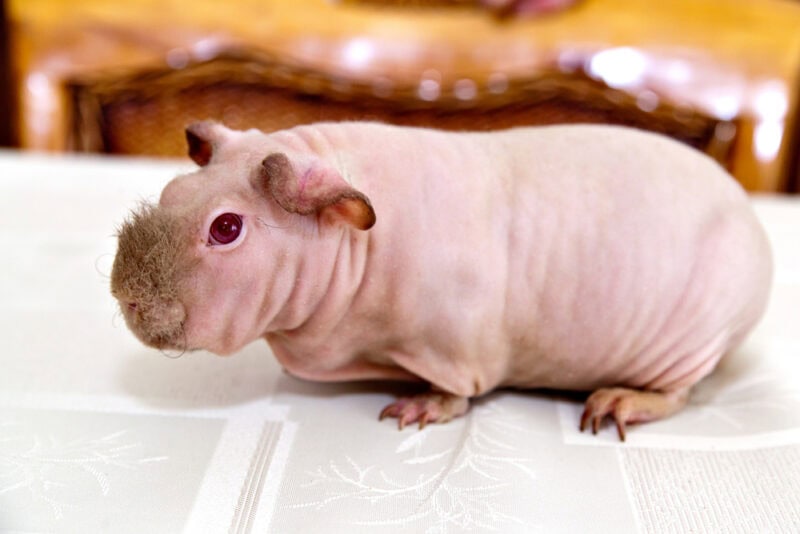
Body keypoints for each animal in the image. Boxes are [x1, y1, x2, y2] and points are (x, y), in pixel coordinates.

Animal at [110, 121, 772, 440]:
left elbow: (457, 394)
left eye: (226, 228)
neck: (359, 251)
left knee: (678, 394)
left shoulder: (456, 349)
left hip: (692, 345)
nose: (127, 299)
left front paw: (415, 410)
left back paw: (615, 405)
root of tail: (758, 238)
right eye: (172, 191)